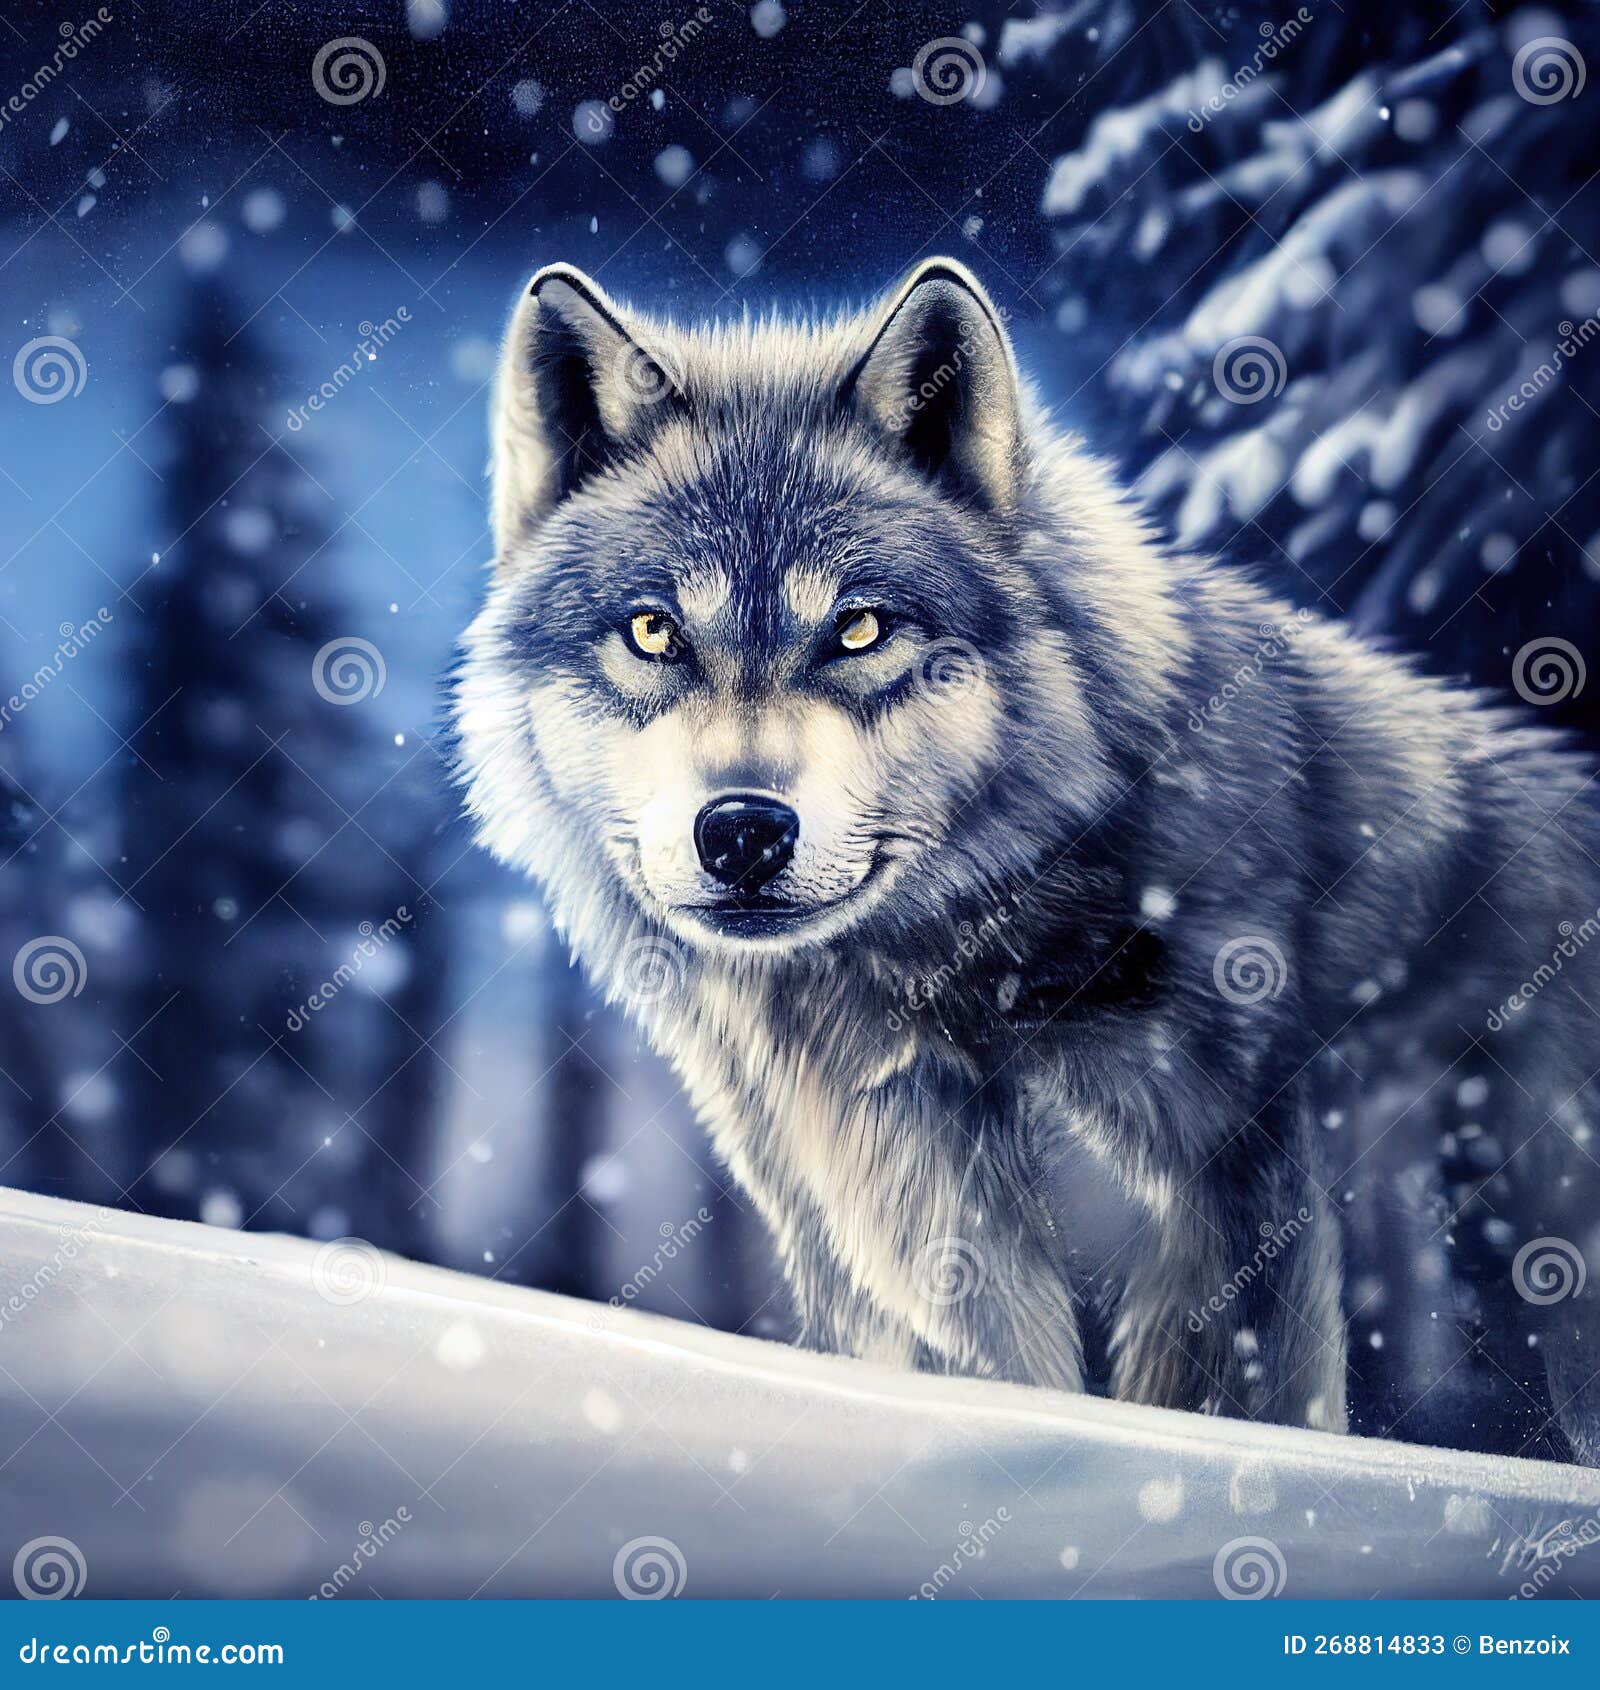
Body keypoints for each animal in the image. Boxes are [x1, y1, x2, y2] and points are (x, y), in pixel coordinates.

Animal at [455, 256, 1600, 1462]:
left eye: (859, 630)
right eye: (653, 633)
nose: (743, 829)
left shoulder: (1233, 1188)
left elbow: (1216, 1416)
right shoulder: (891, 1231)